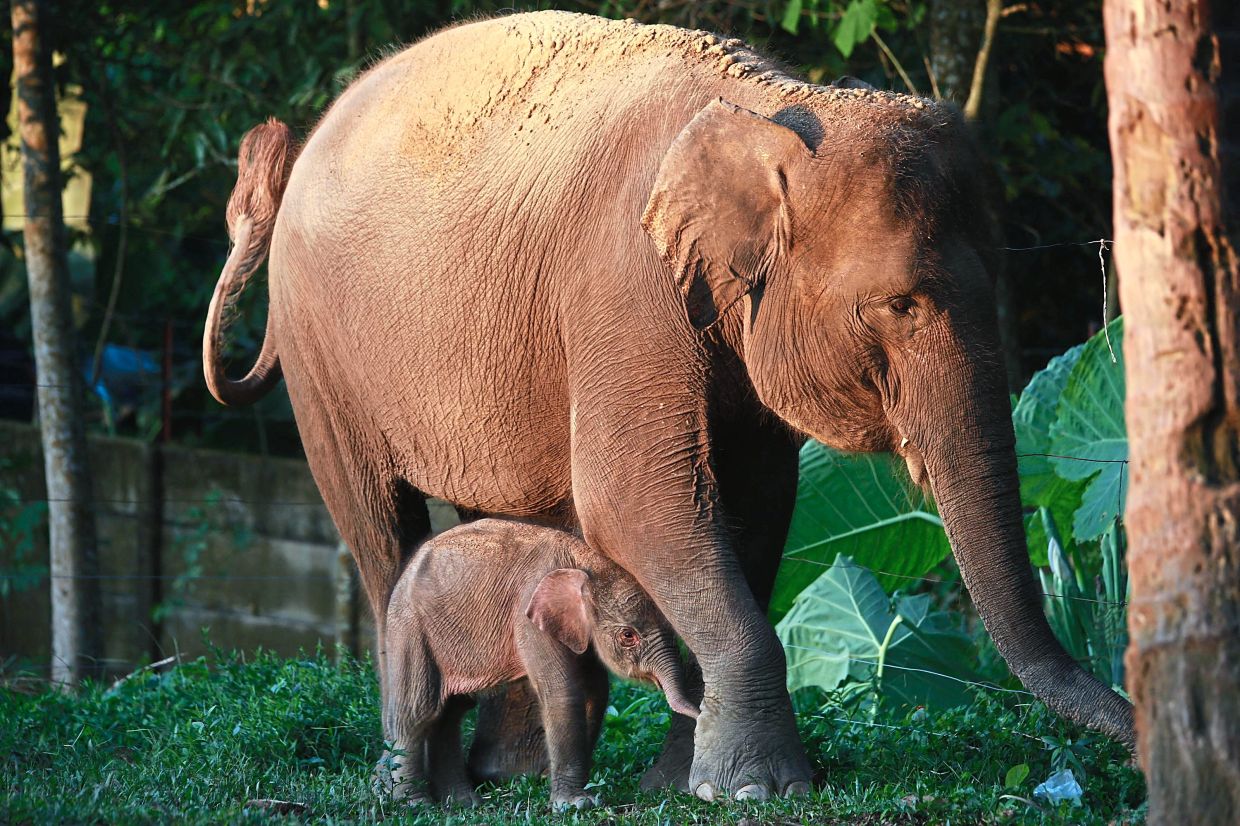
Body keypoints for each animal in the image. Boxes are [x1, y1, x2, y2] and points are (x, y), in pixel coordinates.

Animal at [379, 517, 697, 809]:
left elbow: (595, 691)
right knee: (418, 711)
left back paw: (463, 804)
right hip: (410, 629)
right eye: (628, 636)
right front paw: (575, 805)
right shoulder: (528, 618)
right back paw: (415, 804)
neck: (584, 561)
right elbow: (563, 693)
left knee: (450, 713)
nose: (699, 712)